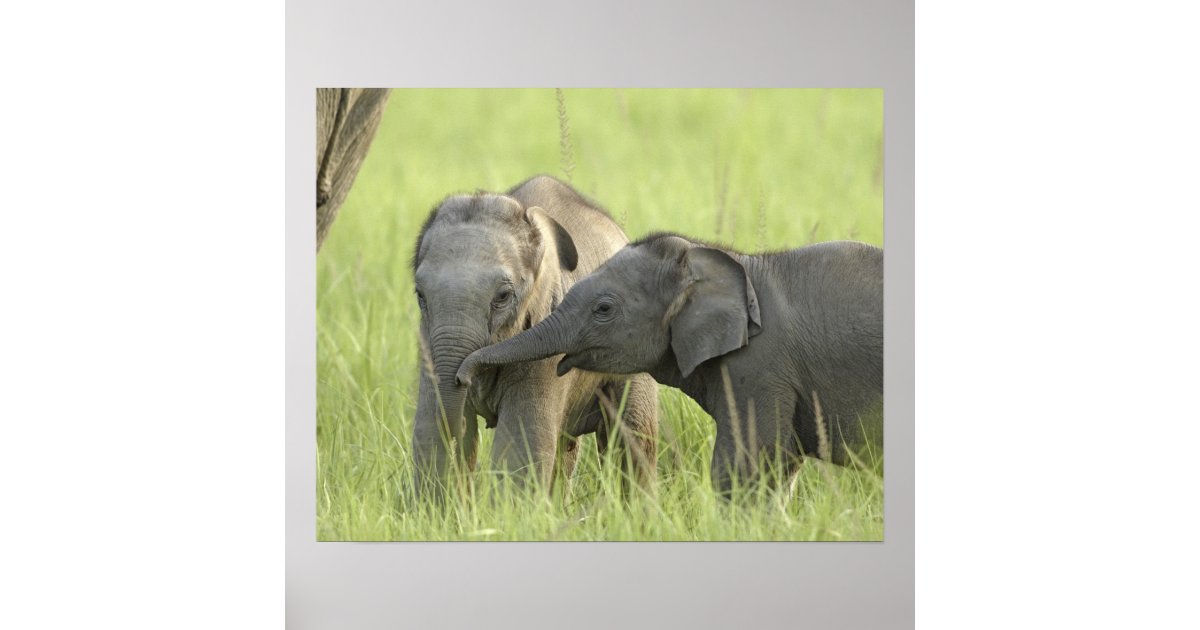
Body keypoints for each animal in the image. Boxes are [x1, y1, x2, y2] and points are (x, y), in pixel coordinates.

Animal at [410, 175, 658, 501]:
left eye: (503, 297)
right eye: (420, 295)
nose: (463, 378)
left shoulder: (547, 338)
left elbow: (520, 446)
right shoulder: (427, 338)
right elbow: (428, 432)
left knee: (632, 437)